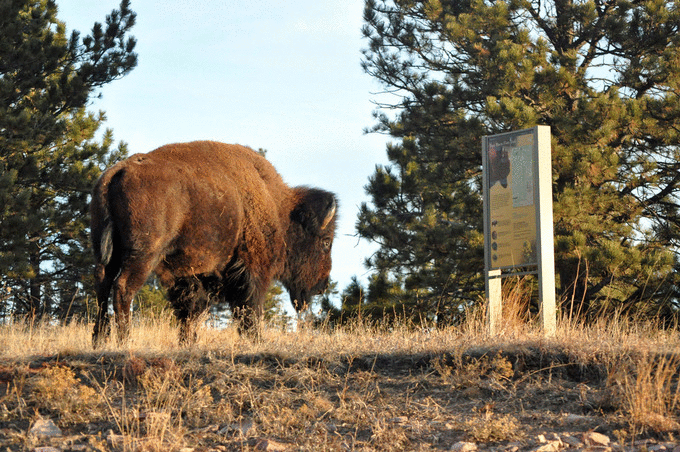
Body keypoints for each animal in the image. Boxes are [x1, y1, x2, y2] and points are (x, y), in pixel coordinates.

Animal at [90, 141, 337, 345]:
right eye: (326, 242)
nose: (322, 286)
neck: (278, 208)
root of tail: (118, 170)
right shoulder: (251, 269)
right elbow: (250, 307)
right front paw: (256, 339)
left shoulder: (193, 273)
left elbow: (191, 308)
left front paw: (188, 342)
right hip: (143, 254)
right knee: (123, 288)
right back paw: (124, 340)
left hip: (105, 252)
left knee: (102, 285)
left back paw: (99, 339)